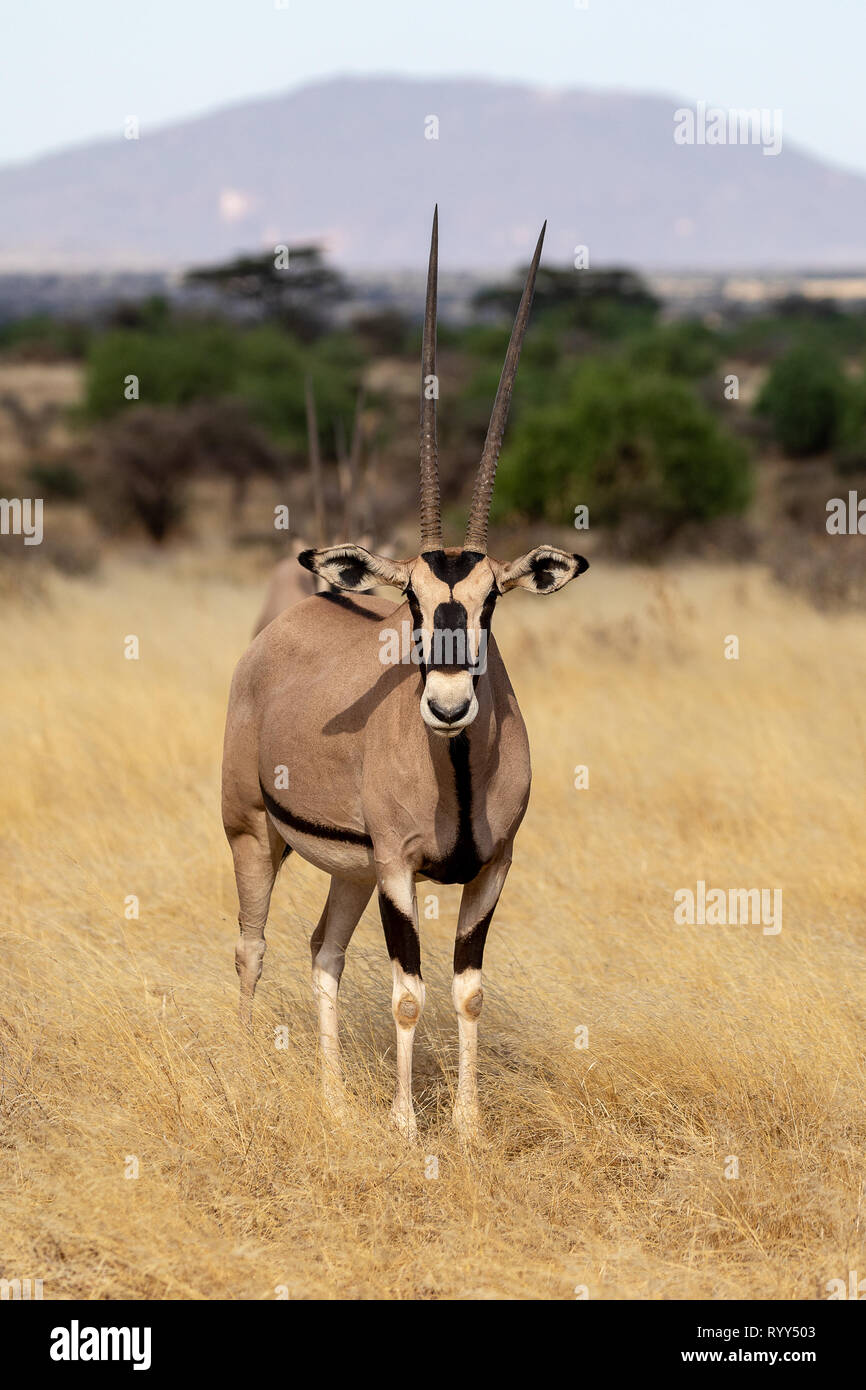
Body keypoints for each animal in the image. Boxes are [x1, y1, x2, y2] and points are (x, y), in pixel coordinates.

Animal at [222, 209, 588, 1141]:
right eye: (414, 600)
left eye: (491, 600)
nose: (450, 705)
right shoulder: (396, 870)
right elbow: (409, 996)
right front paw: (406, 1126)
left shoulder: (491, 870)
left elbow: (467, 992)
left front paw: (465, 1127)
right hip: (253, 832)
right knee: (251, 947)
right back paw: (244, 1077)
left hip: (346, 870)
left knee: (321, 953)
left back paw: (329, 1102)